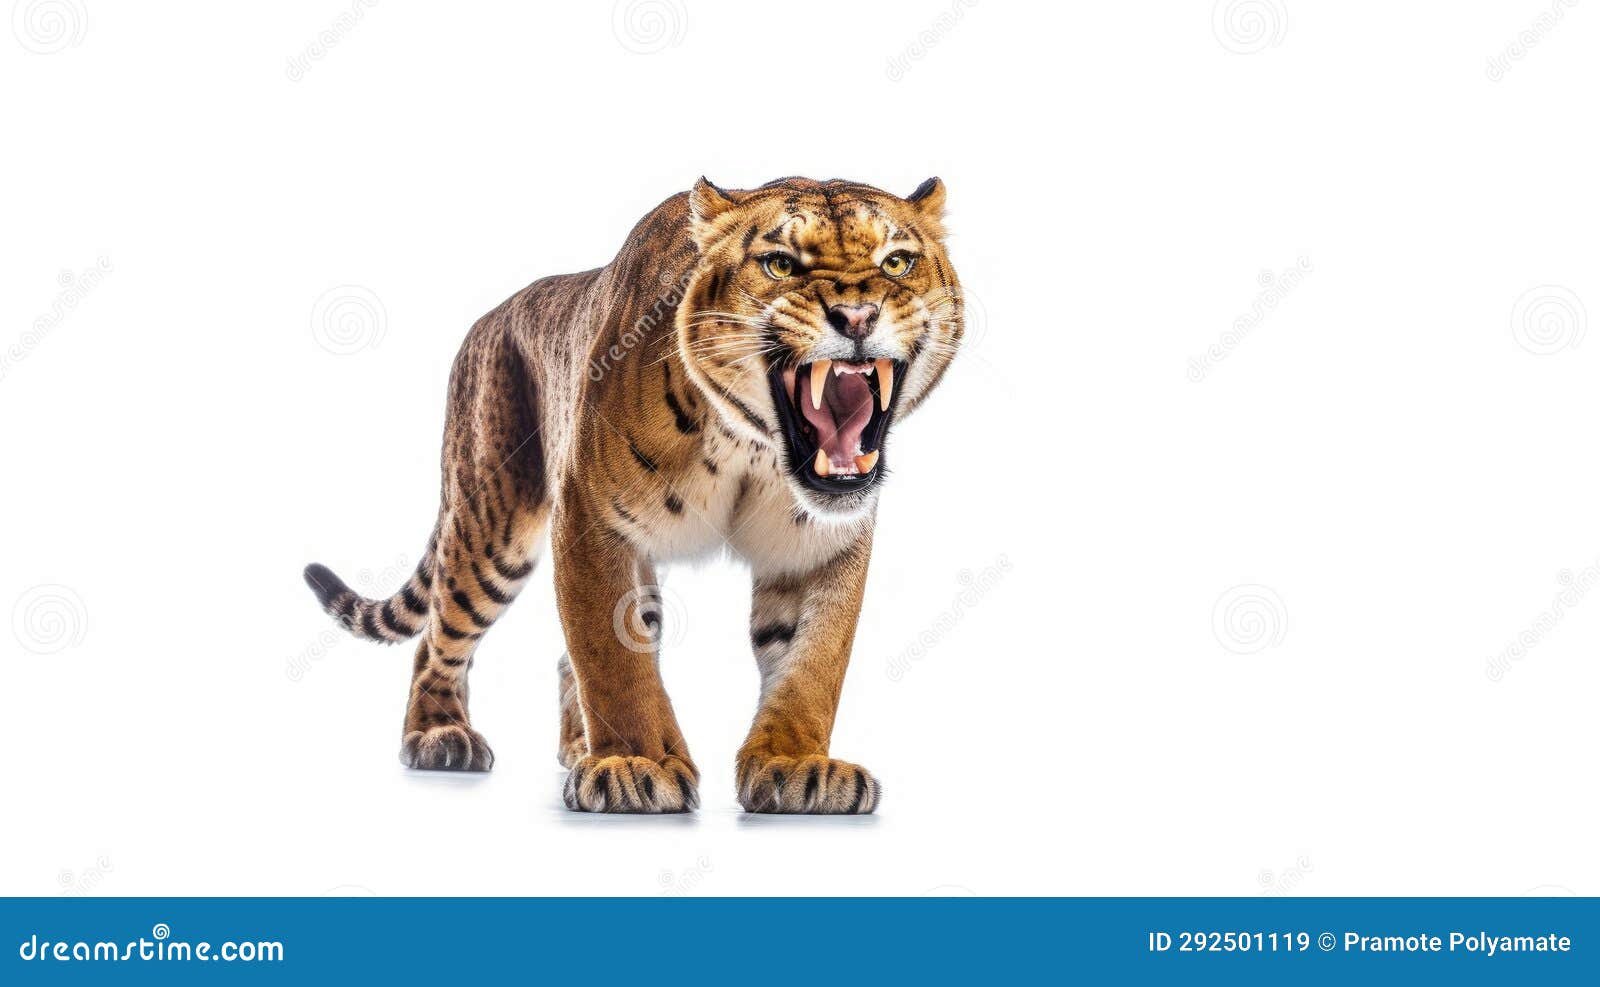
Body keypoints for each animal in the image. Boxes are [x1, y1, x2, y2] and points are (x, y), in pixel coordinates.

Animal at [303, 176, 963, 813]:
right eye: (780, 264)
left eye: (897, 261)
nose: (857, 315)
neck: (753, 448)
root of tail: (488, 320)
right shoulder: (589, 520)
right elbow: (612, 659)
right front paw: (637, 766)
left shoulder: (821, 545)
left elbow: (812, 664)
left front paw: (795, 765)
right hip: (493, 527)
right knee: (440, 634)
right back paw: (438, 736)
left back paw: (576, 747)